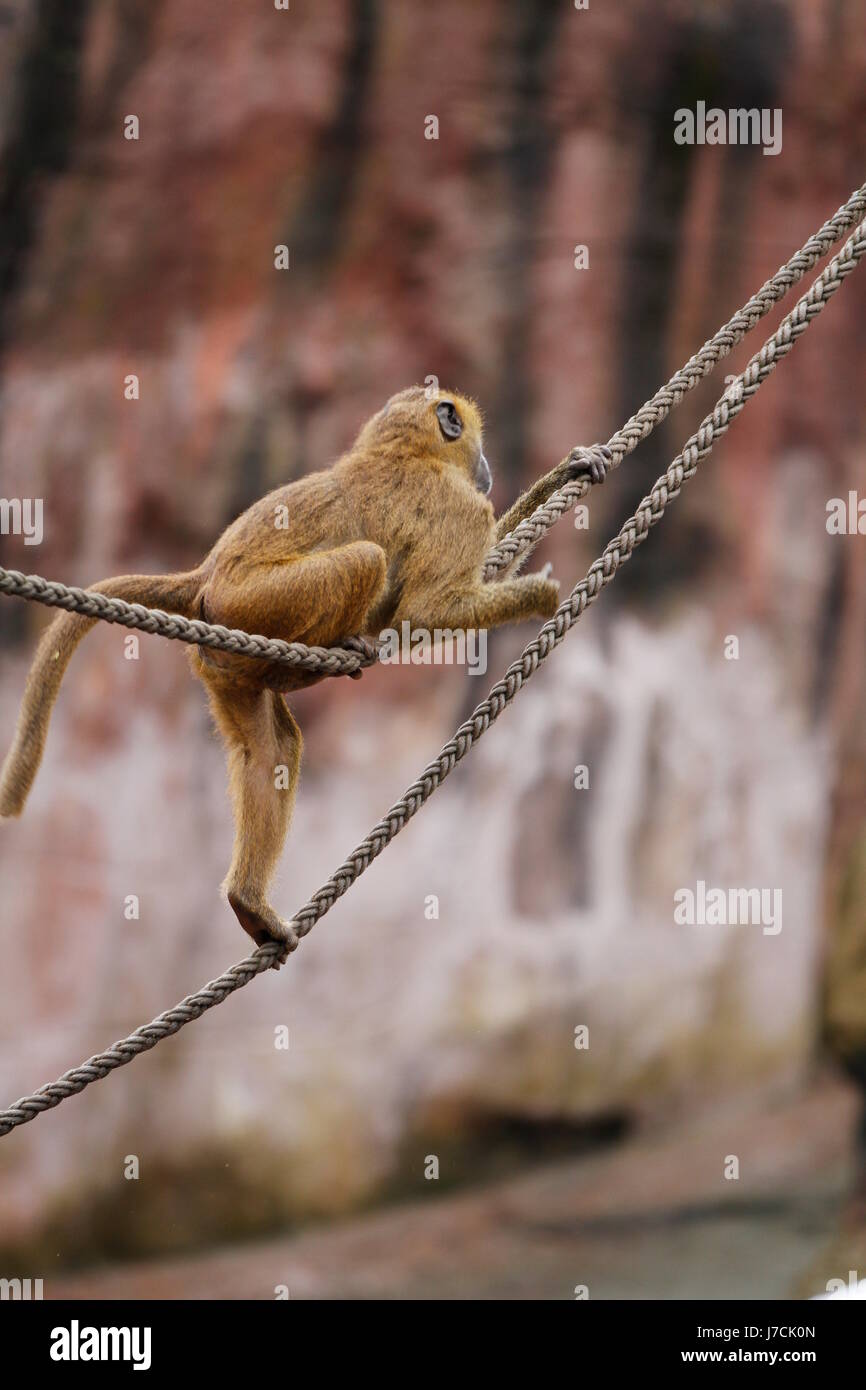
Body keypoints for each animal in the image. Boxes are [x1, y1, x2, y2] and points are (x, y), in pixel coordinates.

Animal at [0, 386, 607, 948]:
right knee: (365, 559)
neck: (400, 451)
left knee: (271, 749)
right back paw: (335, 650)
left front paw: (569, 470)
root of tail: (207, 574)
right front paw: (540, 595)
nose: (487, 470)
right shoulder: (459, 506)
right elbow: (428, 609)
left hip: (224, 657)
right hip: (256, 601)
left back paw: (248, 902)